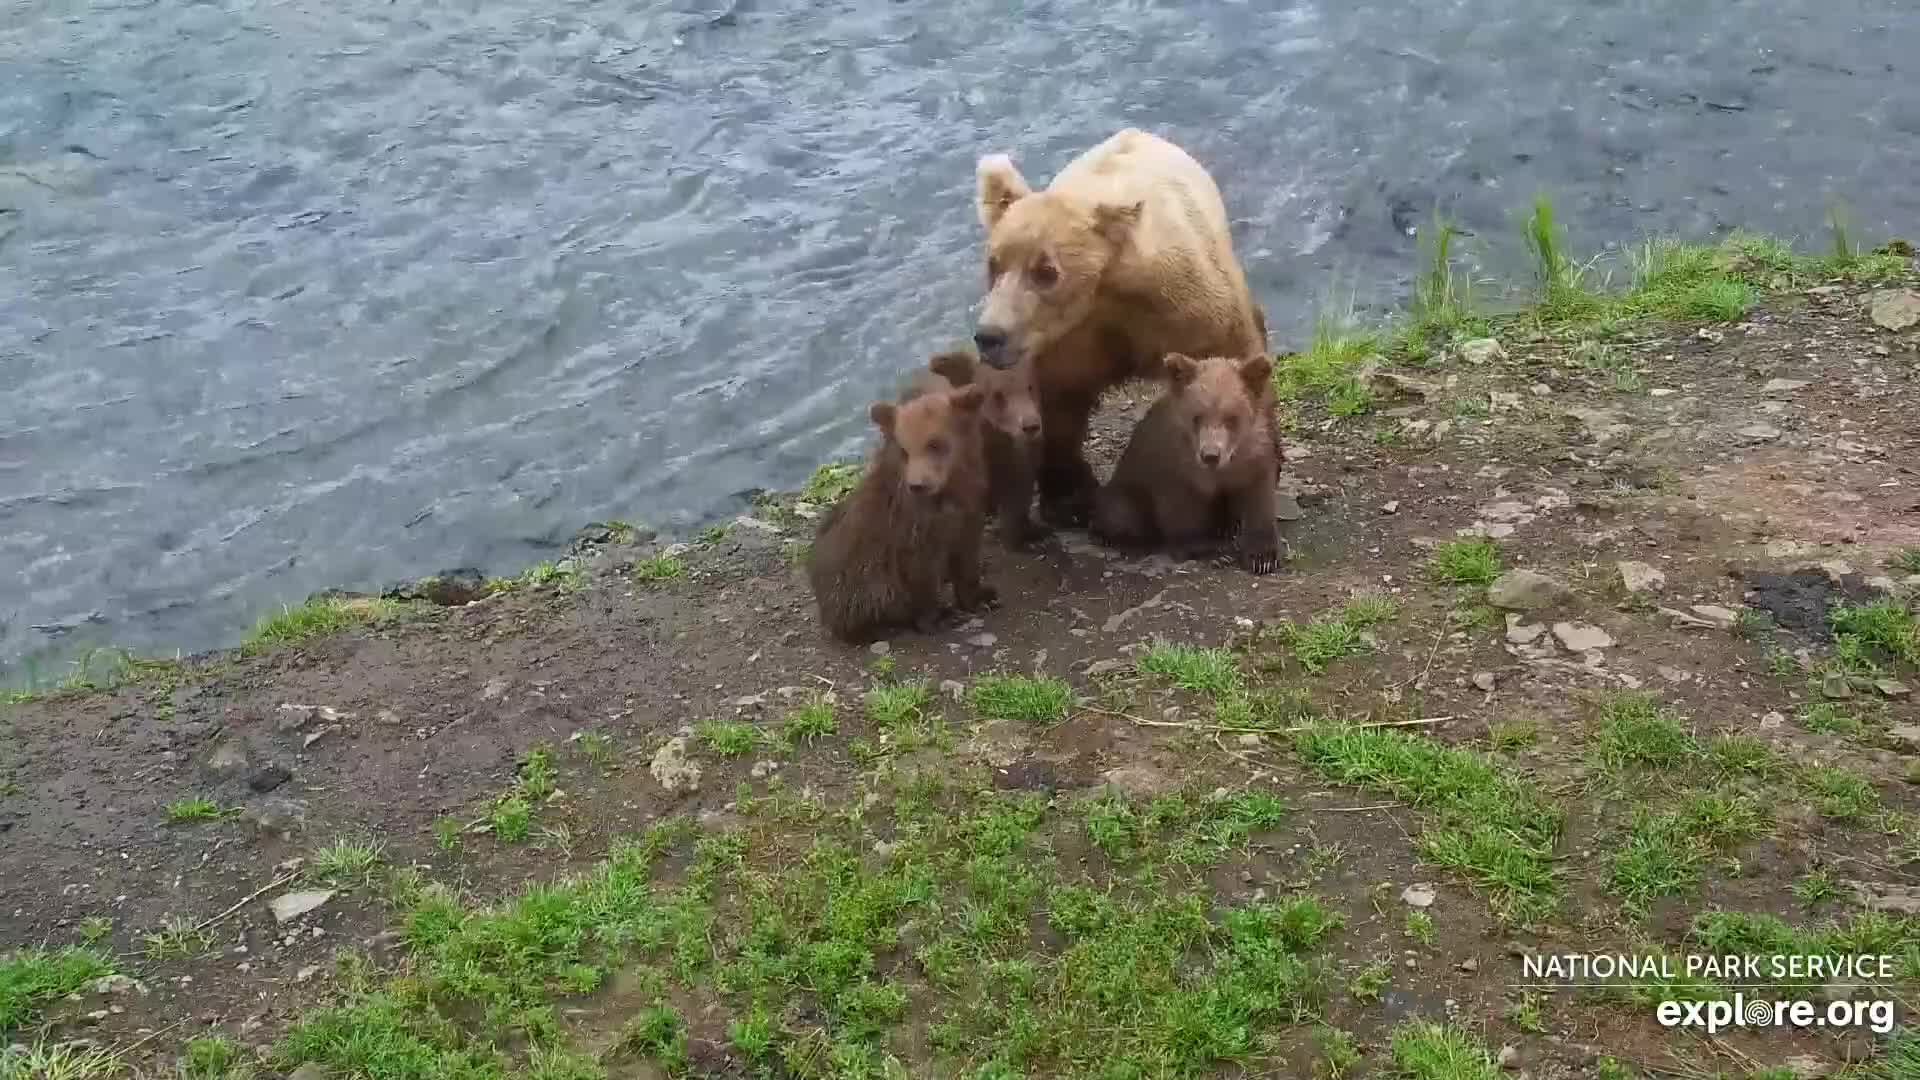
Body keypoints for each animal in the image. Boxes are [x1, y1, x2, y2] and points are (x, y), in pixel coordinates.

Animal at [806, 381, 995, 643]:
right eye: (905, 450)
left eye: (934, 443)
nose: (917, 485)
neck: (948, 493)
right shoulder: (910, 533)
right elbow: (920, 577)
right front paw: (936, 618)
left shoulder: (968, 513)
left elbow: (966, 561)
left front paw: (980, 596)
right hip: (852, 576)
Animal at [922, 348, 1049, 548]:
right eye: (997, 394)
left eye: (1030, 387)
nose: (1031, 425)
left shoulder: (1020, 466)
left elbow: (1017, 504)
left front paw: (1026, 534)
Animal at [970, 127, 1267, 526]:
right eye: (994, 263)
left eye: (1046, 271)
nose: (989, 336)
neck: (1105, 296)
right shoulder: (1070, 345)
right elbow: (1057, 410)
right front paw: (1067, 496)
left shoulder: (1193, 311)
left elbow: (1233, 360)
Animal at [1090, 352, 1283, 575]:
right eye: (1197, 416)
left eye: (1231, 418)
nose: (1210, 455)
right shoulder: (1175, 467)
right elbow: (1180, 514)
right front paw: (1210, 551)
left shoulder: (1253, 459)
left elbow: (1260, 501)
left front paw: (1262, 558)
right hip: (1127, 486)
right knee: (1121, 511)